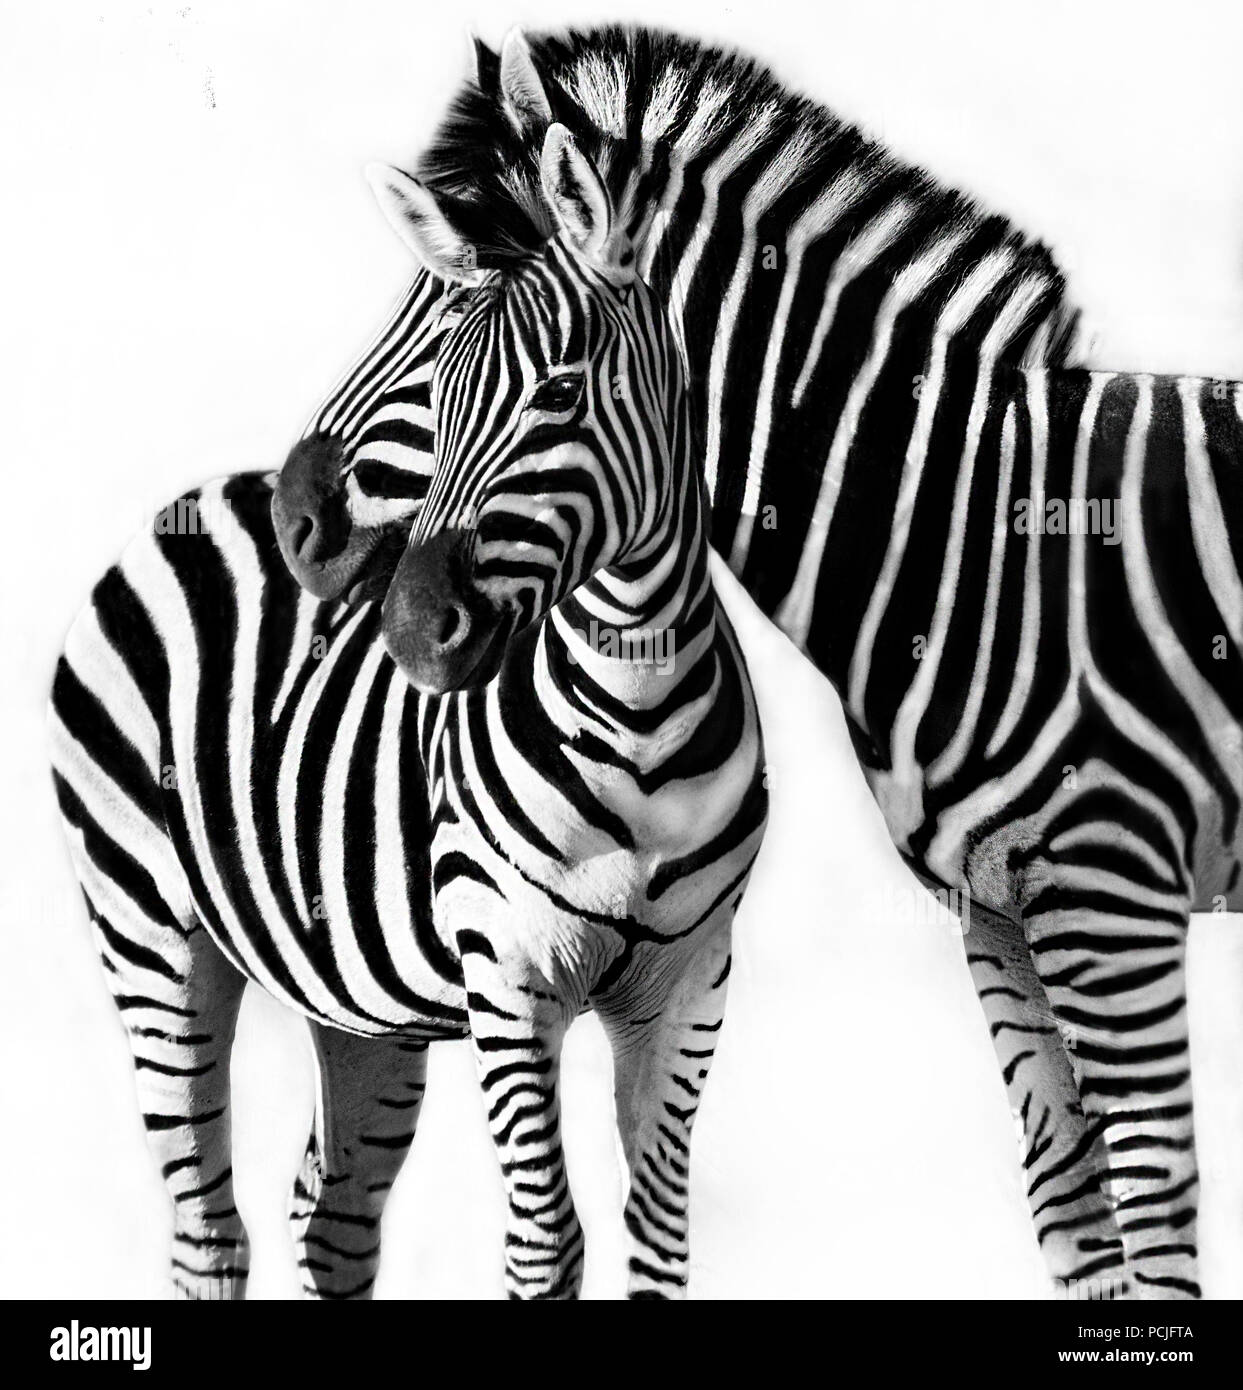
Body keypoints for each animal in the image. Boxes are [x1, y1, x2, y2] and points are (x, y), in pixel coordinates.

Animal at [47, 119, 766, 1298]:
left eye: (559, 394)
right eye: (448, 399)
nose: (412, 628)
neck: (639, 721)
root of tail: (190, 503)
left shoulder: (690, 983)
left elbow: (657, 1234)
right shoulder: (507, 977)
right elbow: (546, 1240)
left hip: (354, 1001)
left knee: (330, 1218)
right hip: (148, 933)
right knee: (207, 1231)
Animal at [271, 25, 1243, 1298]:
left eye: (437, 331)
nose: (294, 520)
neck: (970, 538)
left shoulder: (1109, 887)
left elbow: (1154, 1203)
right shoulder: (999, 907)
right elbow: (1070, 1206)